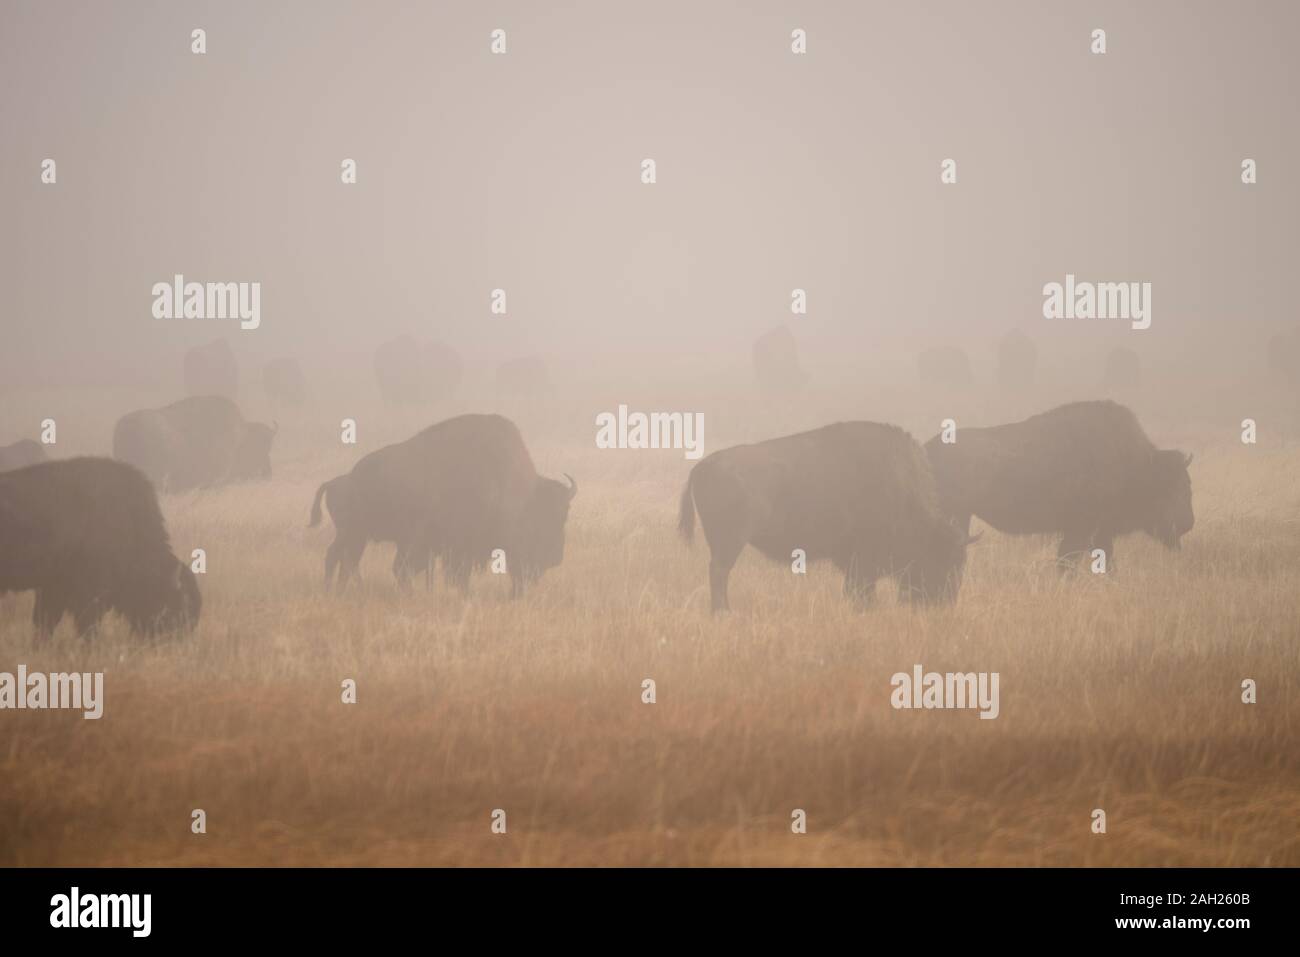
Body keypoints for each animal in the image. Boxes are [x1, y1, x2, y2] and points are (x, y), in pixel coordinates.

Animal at [308, 413, 576, 597]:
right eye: (544, 519)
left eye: (564, 514)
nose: (556, 556)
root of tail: (348, 478)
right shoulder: (453, 546)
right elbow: (454, 573)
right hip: (355, 533)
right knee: (345, 559)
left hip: (358, 535)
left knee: (343, 559)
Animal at [678, 422, 974, 612]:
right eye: (945, 559)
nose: (945, 603)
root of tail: (701, 466)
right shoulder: (863, 558)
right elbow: (861, 588)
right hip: (730, 542)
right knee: (719, 572)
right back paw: (722, 612)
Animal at [924, 400, 1193, 568]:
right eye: (1175, 488)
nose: (1187, 523)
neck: (1137, 464)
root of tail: (928, 448)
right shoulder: (1080, 530)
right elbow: (1067, 561)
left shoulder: (1099, 533)